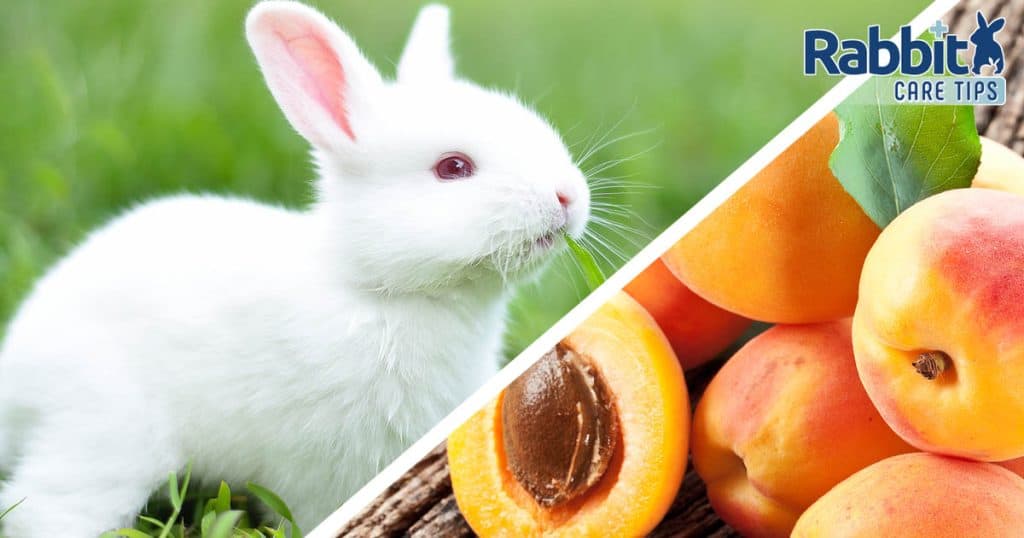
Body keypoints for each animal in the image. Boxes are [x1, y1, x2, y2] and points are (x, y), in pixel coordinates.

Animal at [0, 1, 590, 536]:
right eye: (453, 167)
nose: (567, 196)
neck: (379, 291)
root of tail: (18, 367)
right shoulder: (322, 470)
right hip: (107, 435)